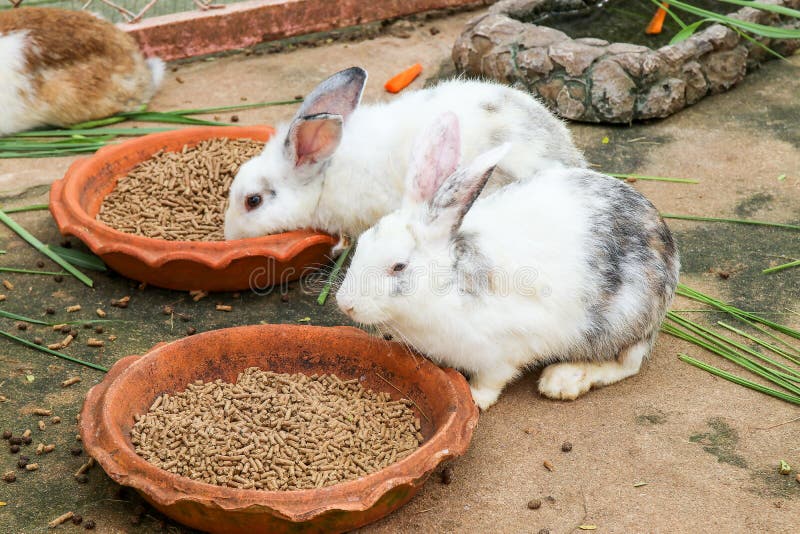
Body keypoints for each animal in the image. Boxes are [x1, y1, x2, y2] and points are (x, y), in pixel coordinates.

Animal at [336, 112, 679, 410]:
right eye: (362, 243)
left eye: (399, 266)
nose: (345, 304)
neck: (446, 285)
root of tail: (667, 247)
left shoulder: (502, 351)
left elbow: (492, 380)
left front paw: (474, 399)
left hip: (621, 318)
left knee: (628, 363)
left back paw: (563, 380)